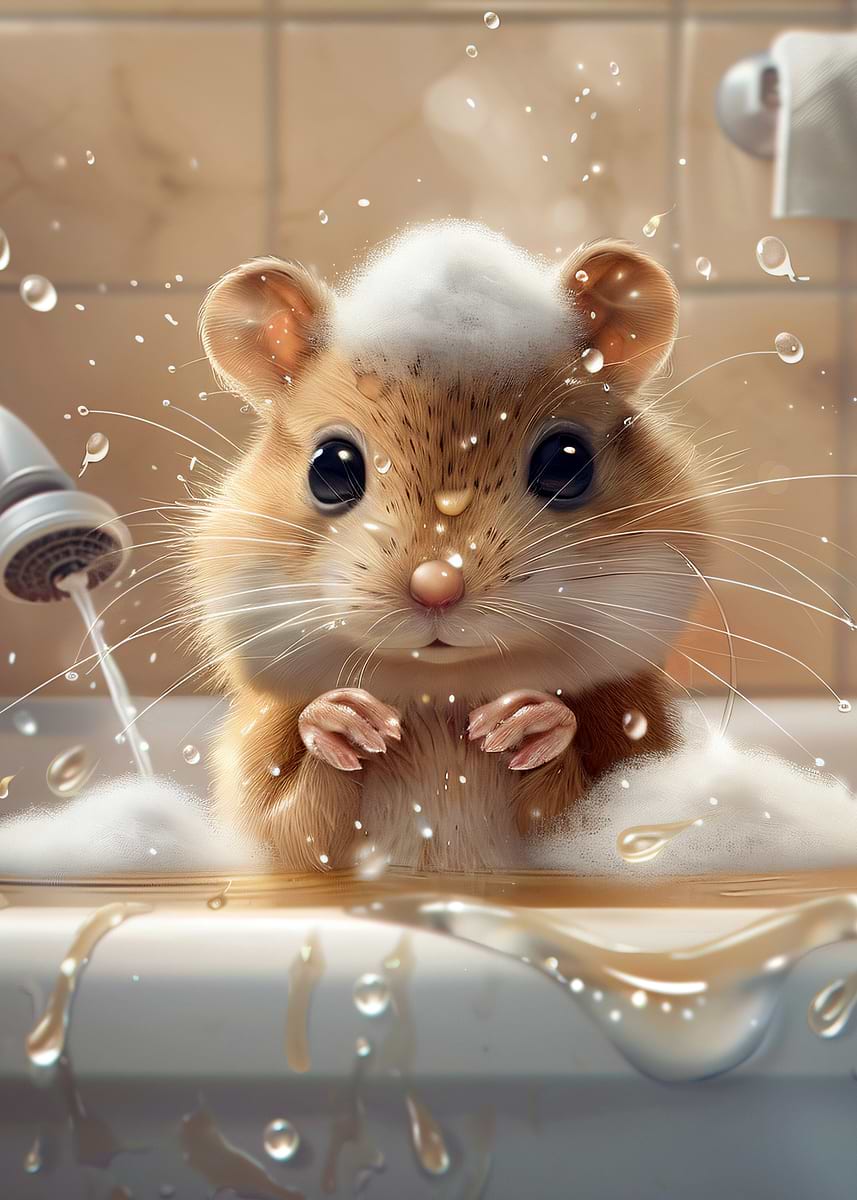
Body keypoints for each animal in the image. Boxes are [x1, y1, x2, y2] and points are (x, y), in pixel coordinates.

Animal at [191, 222, 715, 874]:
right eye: (329, 468)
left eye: (567, 464)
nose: (436, 586)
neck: (441, 699)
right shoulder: (263, 771)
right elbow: (296, 827)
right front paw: (340, 721)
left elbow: (577, 811)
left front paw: (531, 722)